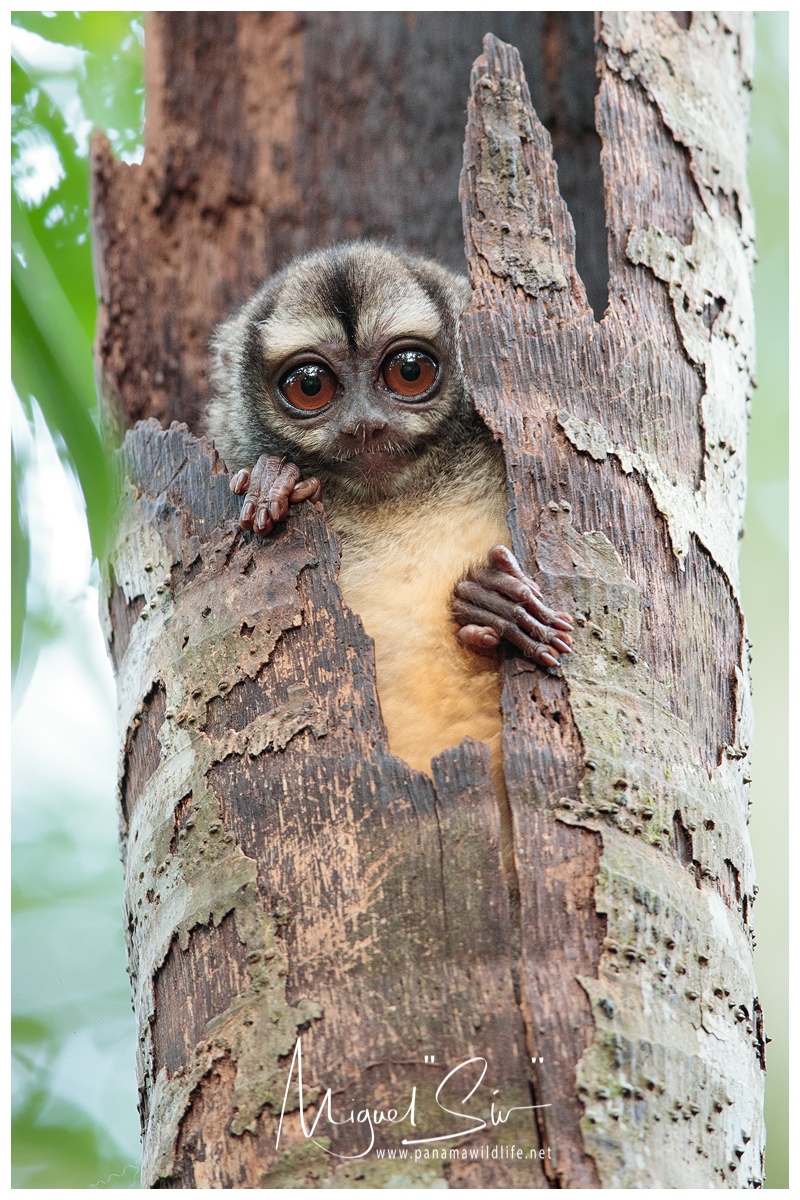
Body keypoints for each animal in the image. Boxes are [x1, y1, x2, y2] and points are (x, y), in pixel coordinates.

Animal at [206, 242, 573, 858]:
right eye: (310, 386)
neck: (397, 503)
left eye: (409, 371)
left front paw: (498, 603)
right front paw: (271, 482)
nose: (365, 426)